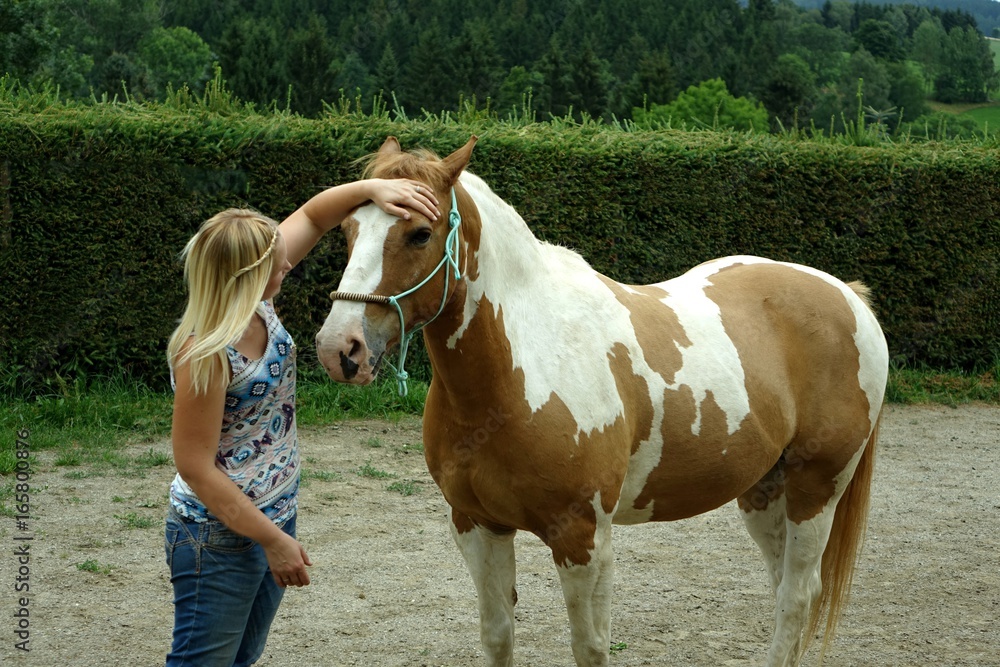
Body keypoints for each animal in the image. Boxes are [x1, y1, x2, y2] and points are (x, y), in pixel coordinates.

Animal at [314, 136, 889, 667]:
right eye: (347, 230)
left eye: (420, 233)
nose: (340, 348)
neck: (520, 371)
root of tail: (847, 295)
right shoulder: (477, 525)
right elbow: (498, 636)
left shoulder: (583, 538)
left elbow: (589, 648)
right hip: (763, 491)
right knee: (783, 588)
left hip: (816, 488)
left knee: (796, 596)